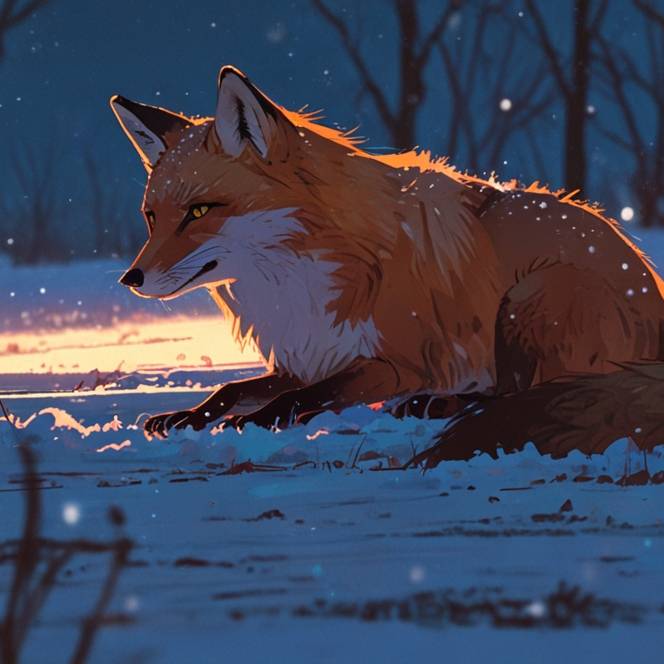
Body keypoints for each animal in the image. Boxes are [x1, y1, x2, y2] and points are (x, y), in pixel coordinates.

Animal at [110, 65, 664, 466]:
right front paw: (188, 415)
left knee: (513, 391)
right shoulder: (308, 353)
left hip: (530, 298)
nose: (130, 279)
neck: (299, 278)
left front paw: (255, 420)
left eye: (200, 212)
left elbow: (304, 398)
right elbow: (231, 389)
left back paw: (435, 404)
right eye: (152, 217)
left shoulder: (396, 363)